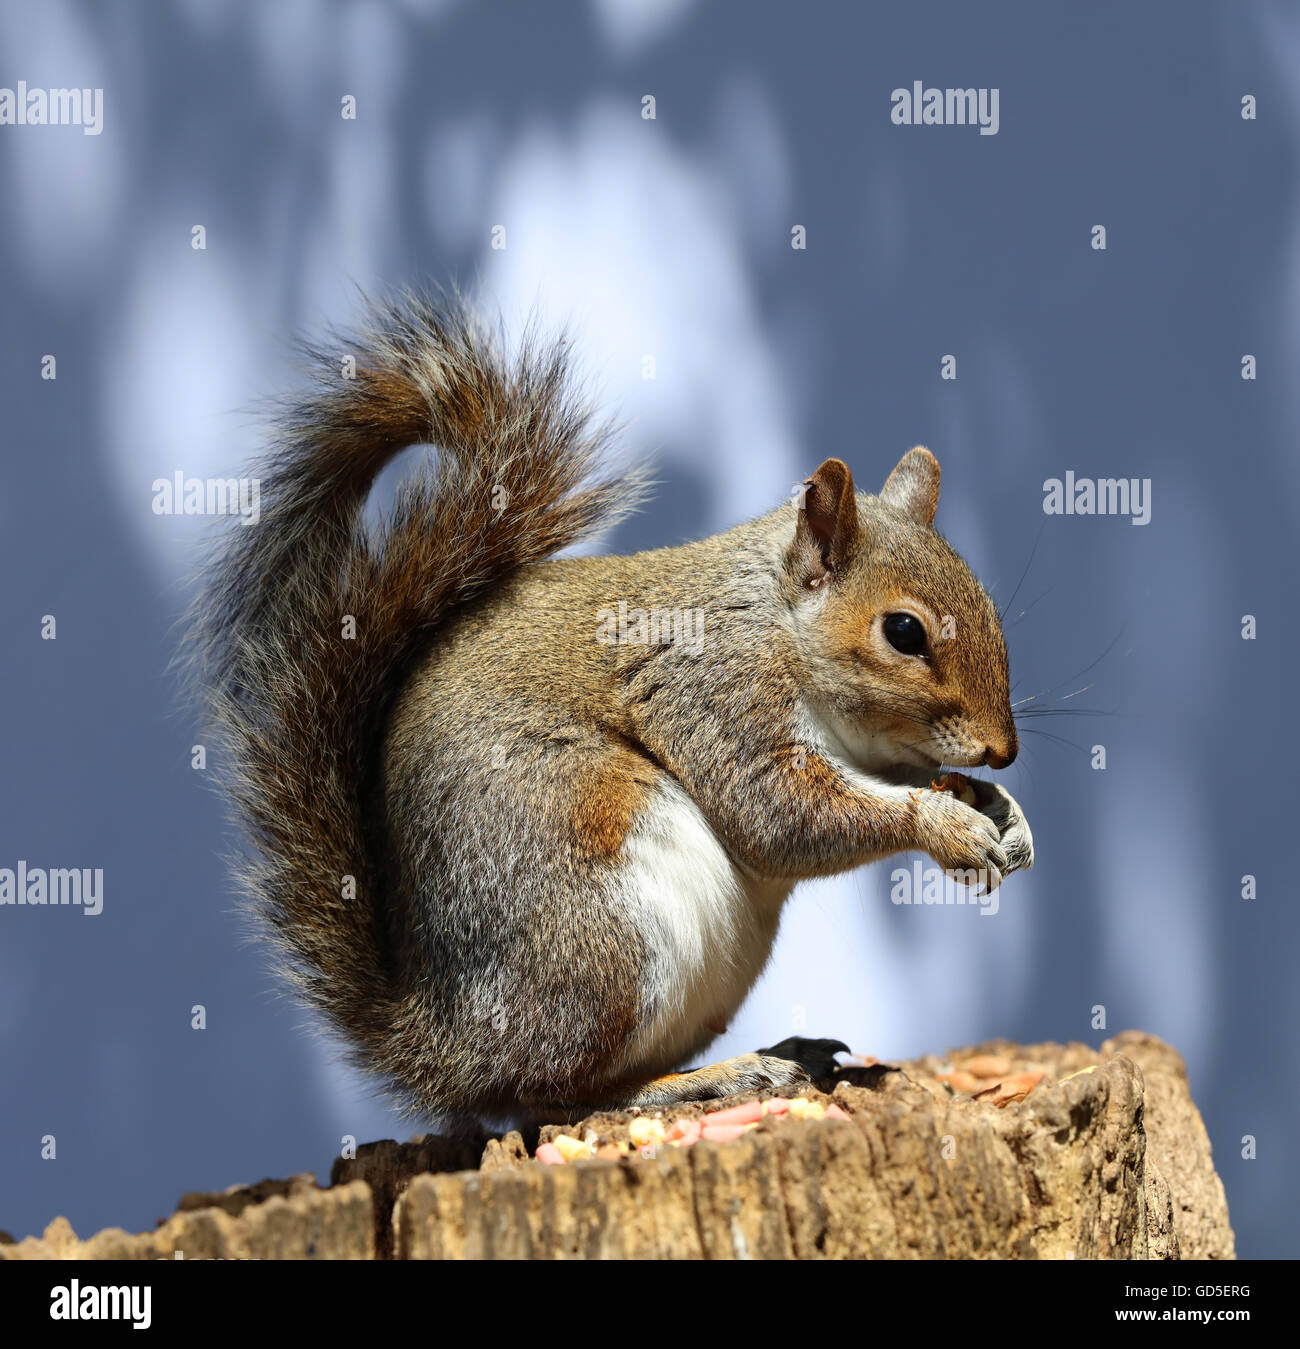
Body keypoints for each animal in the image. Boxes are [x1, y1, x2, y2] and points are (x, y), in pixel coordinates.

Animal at [190, 291, 1034, 1128]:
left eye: (989, 605)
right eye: (904, 632)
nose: (1004, 749)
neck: (775, 621)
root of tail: (443, 1042)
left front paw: (1002, 812)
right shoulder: (718, 693)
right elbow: (781, 815)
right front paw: (947, 825)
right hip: (608, 929)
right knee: (552, 1095)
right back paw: (703, 1081)